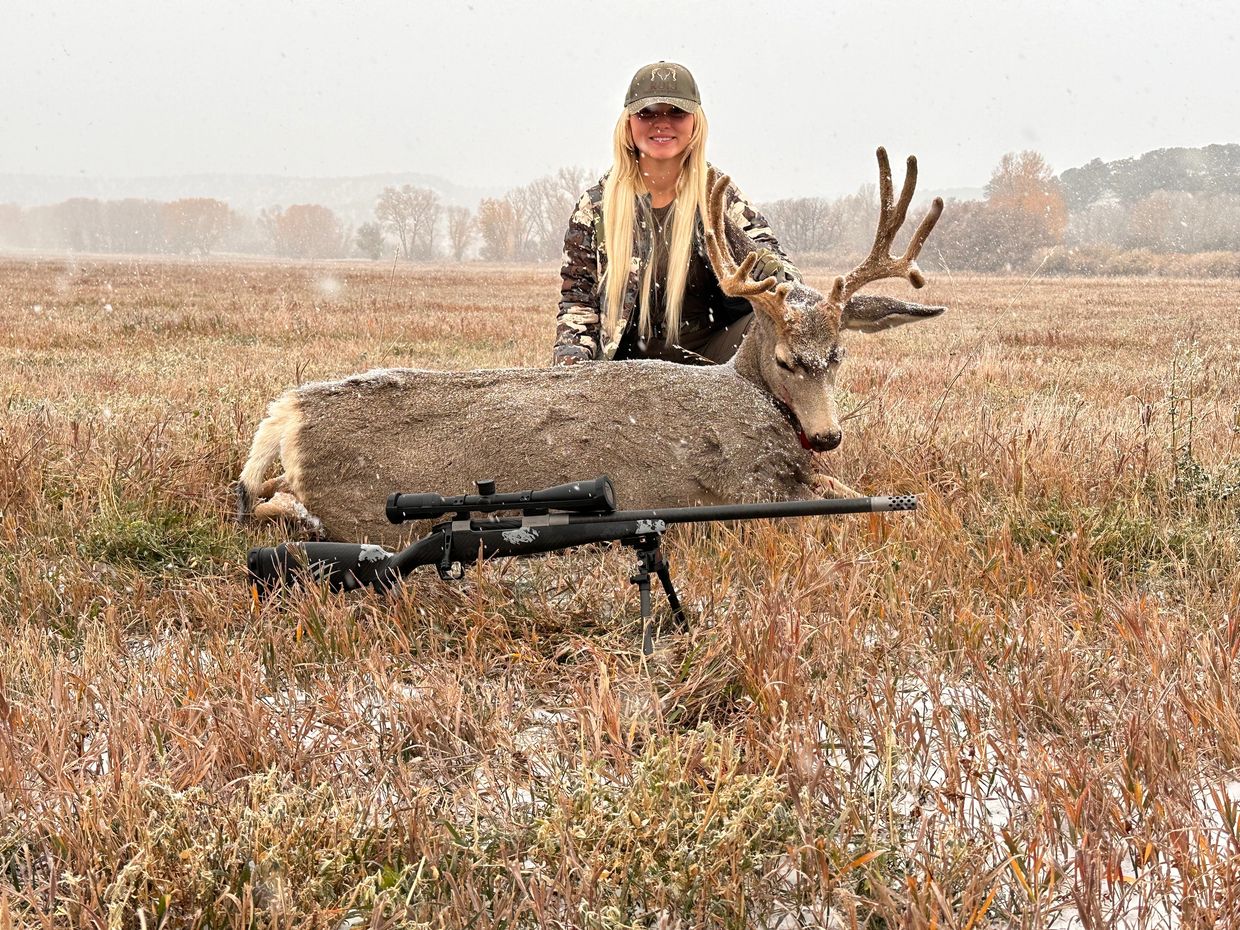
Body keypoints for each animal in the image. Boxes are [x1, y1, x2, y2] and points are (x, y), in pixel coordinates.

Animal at [238, 148, 945, 549]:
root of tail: (287, 412)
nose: (826, 434)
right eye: (784, 361)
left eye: (839, 356)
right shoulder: (747, 484)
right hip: (356, 503)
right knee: (274, 508)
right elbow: (844, 499)